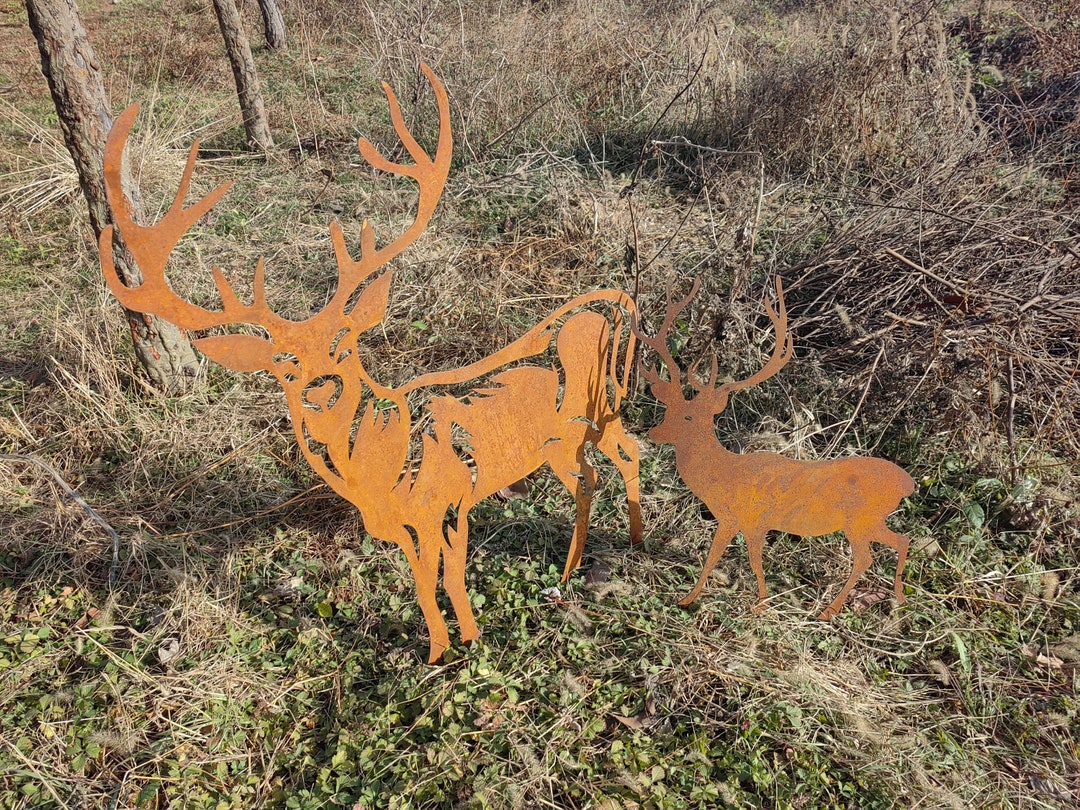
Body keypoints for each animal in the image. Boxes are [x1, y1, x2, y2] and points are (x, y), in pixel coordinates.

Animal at [98, 64, 642, 663]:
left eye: (346, 343)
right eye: (284, 364)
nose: (320, 386)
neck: (378, 472)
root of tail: (617, 300)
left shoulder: (451, 500)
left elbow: (450, 576)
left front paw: (468, 641)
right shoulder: (397, 524)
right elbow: (422, 582)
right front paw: (437, 649)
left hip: (596, 410)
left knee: (624, 455)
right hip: (562, 441)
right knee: (599, 473)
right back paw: (591, 561)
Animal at [632, 277, 914, 620]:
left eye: (688, 417)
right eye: (668, 410)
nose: (653, 432)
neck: (723, 476)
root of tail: (908, 482)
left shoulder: (752, 519)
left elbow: (750, 560)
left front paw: (760, 604)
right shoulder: (729, 519)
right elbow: (714, 557)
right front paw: (689, 598)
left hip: (860, 519)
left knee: (866, 557)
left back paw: (828, 611)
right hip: (872, 520)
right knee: (901, 540)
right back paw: (898, 597)